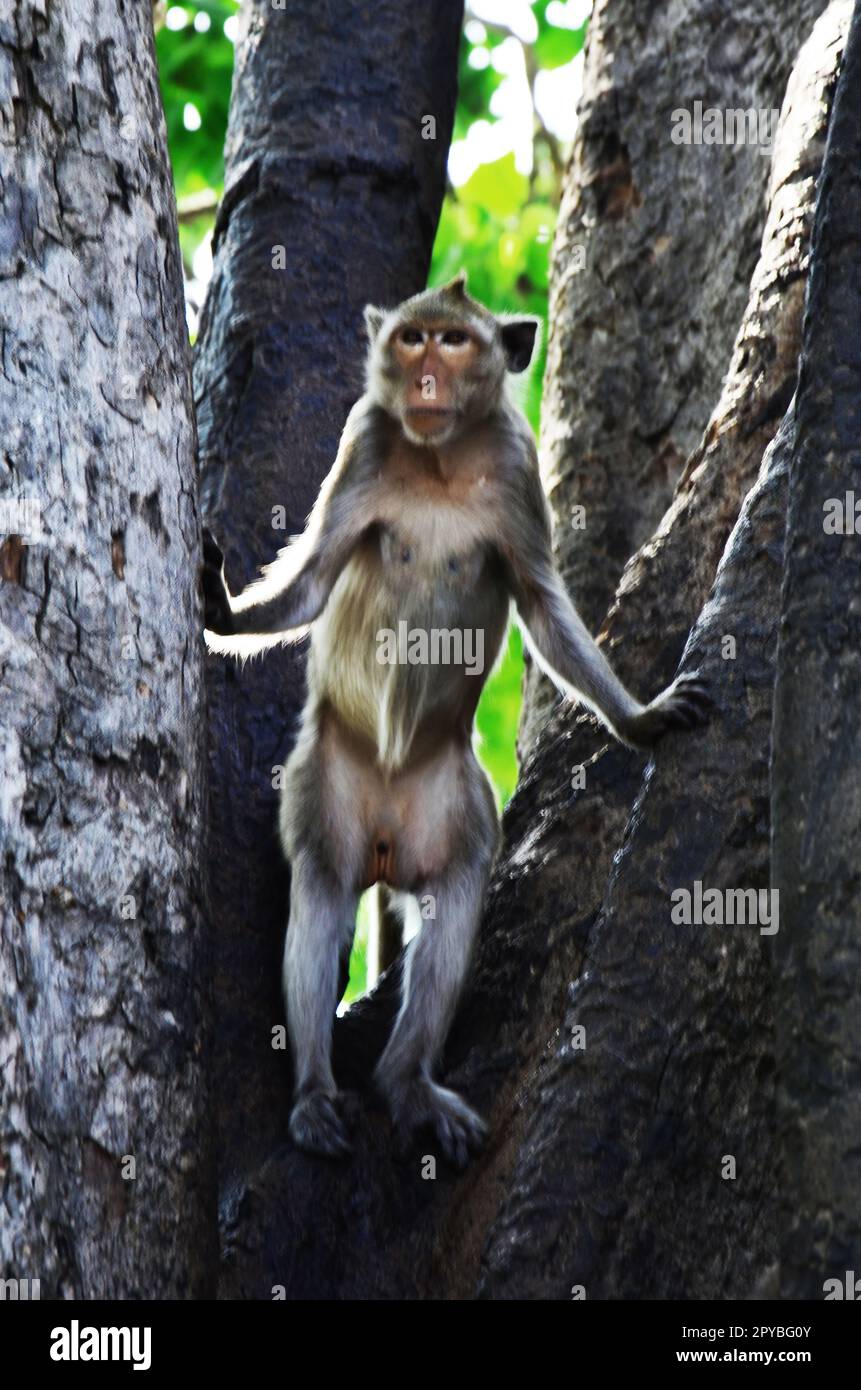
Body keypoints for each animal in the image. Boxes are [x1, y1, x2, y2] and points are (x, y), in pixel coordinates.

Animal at [201, 272, 709, 1167]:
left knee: (457, 894)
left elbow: (541, 602)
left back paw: (405, 1082)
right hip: (327, 781)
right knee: (321, 895)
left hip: (450, 801)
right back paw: (314, 1092)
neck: (439, 459)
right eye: (411, 339)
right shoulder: (362, 440)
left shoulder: (516, 461)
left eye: (453, 339)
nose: (426, 377)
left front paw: (639, 720)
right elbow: (315, 577)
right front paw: (224, 613)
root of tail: (385, 838)